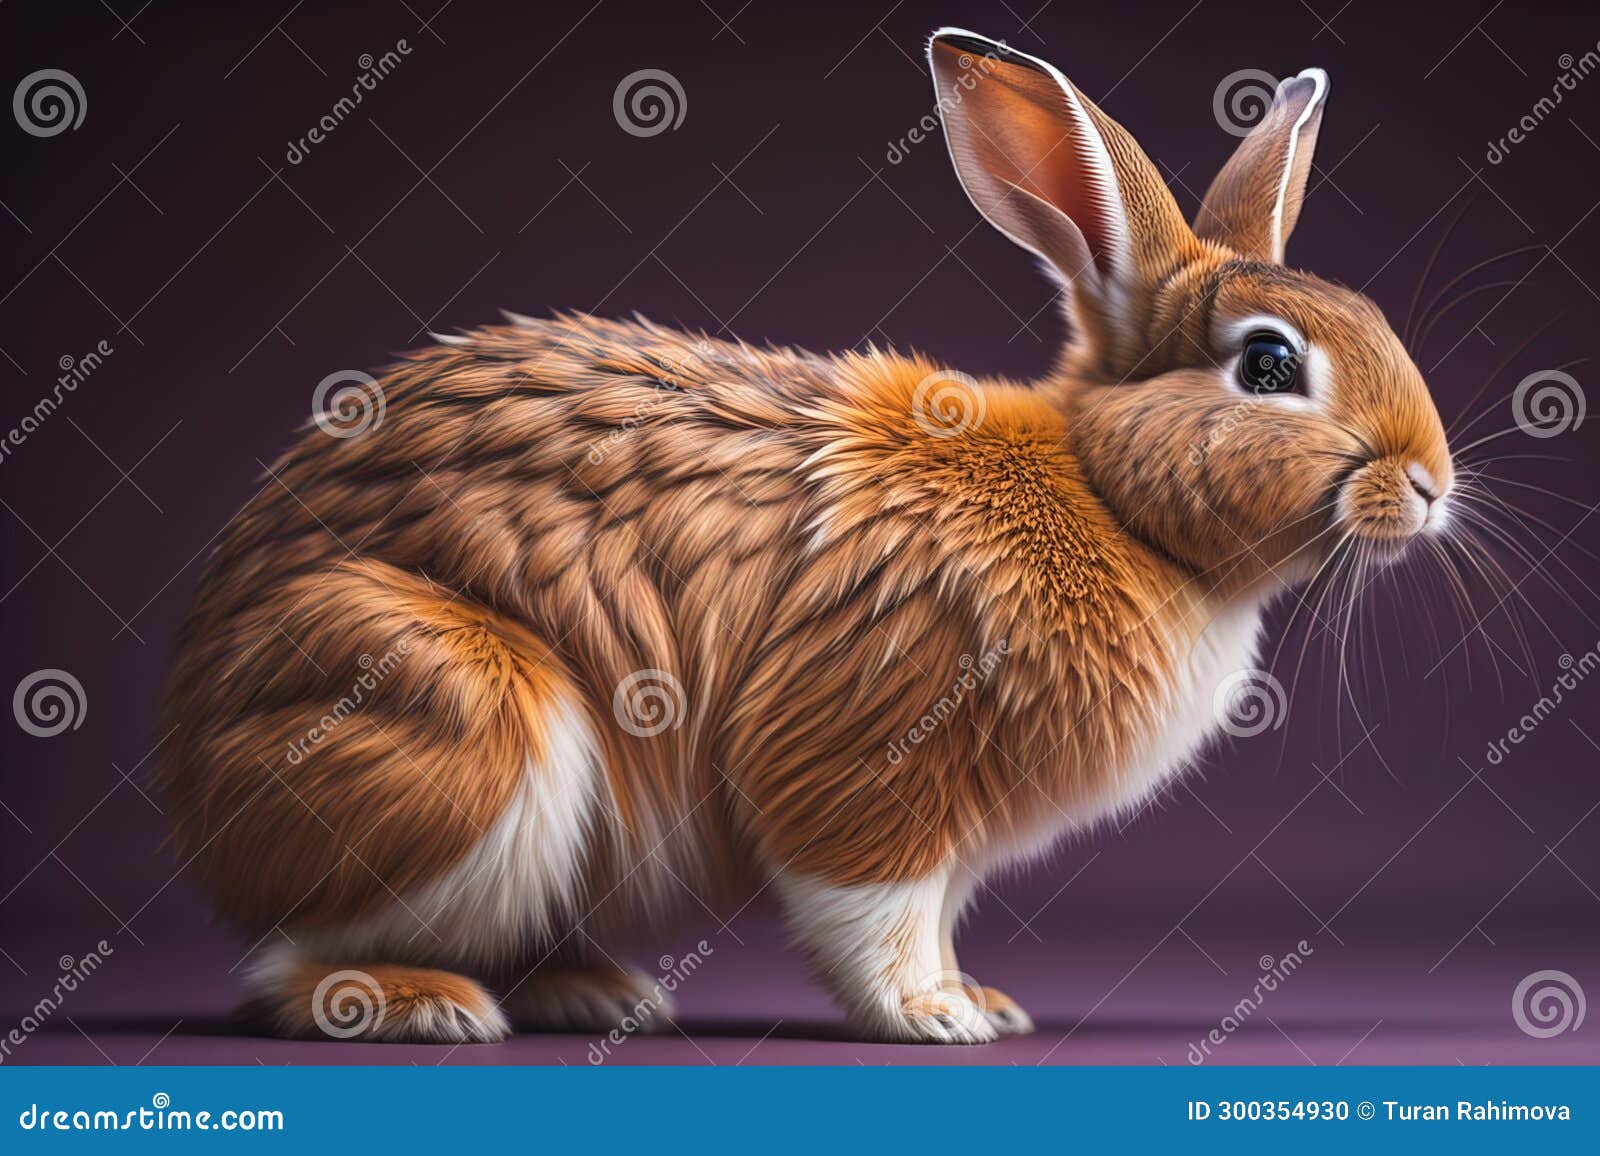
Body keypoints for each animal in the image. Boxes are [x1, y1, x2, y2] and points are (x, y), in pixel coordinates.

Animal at [157, 28, 1454, 1046]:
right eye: (1268, 364)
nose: (1432, 484)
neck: (1105, 493)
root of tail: (195, 788)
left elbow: (934, 914)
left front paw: (983, 999)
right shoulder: (868, 751)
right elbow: (867, 909)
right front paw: (935, 1017)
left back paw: (592, 994)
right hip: (456, 719)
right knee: (286, 956)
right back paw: (416, 1000)